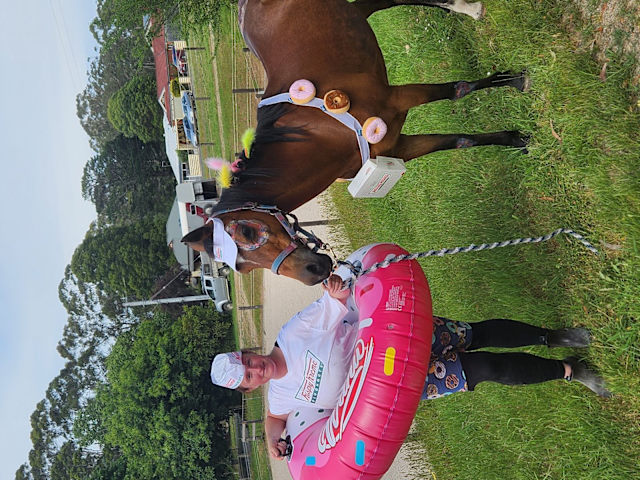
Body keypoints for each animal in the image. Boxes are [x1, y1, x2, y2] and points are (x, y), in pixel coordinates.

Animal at [183, 0, 529, 285]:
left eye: (247, 232)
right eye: (241, 268)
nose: (314, 273)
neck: (321, 132)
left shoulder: (397, 99)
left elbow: (459, 89)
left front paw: (511, 81)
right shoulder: (397, 147)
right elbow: (461, 141)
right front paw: (514, 138)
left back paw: (467, 9)